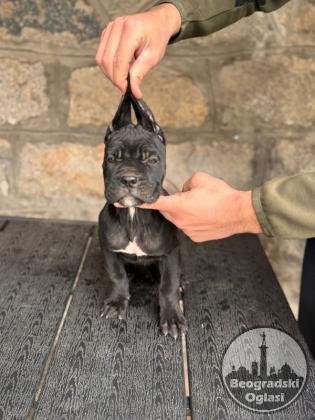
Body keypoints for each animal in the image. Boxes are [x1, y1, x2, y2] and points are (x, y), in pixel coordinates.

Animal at [99, 81, 188, 338]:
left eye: (152, 160)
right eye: (112, 159)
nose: (129, 179)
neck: (133, 214)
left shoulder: (170, 253)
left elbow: (167, 286)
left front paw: (171, 317)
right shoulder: (109, 250)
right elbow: (117, 276)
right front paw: (117, 302)